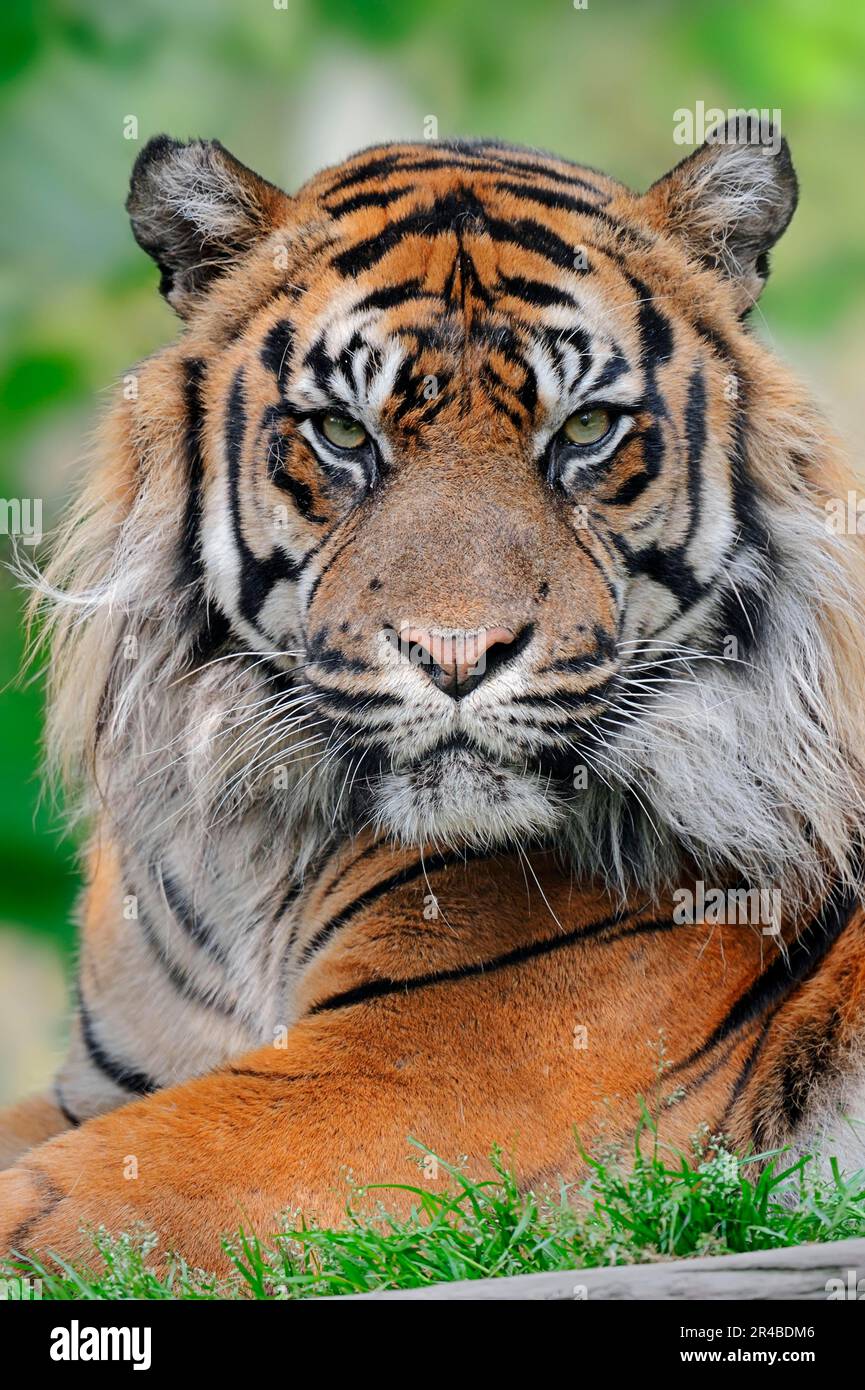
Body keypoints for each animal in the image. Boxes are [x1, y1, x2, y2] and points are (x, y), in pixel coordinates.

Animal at [2, 118, 865, 1274]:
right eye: (342, 433)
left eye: (585, 430)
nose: (457, 653)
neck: (248, 843)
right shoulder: (103, 1081)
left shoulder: (401, 1072)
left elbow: (38, 1203)